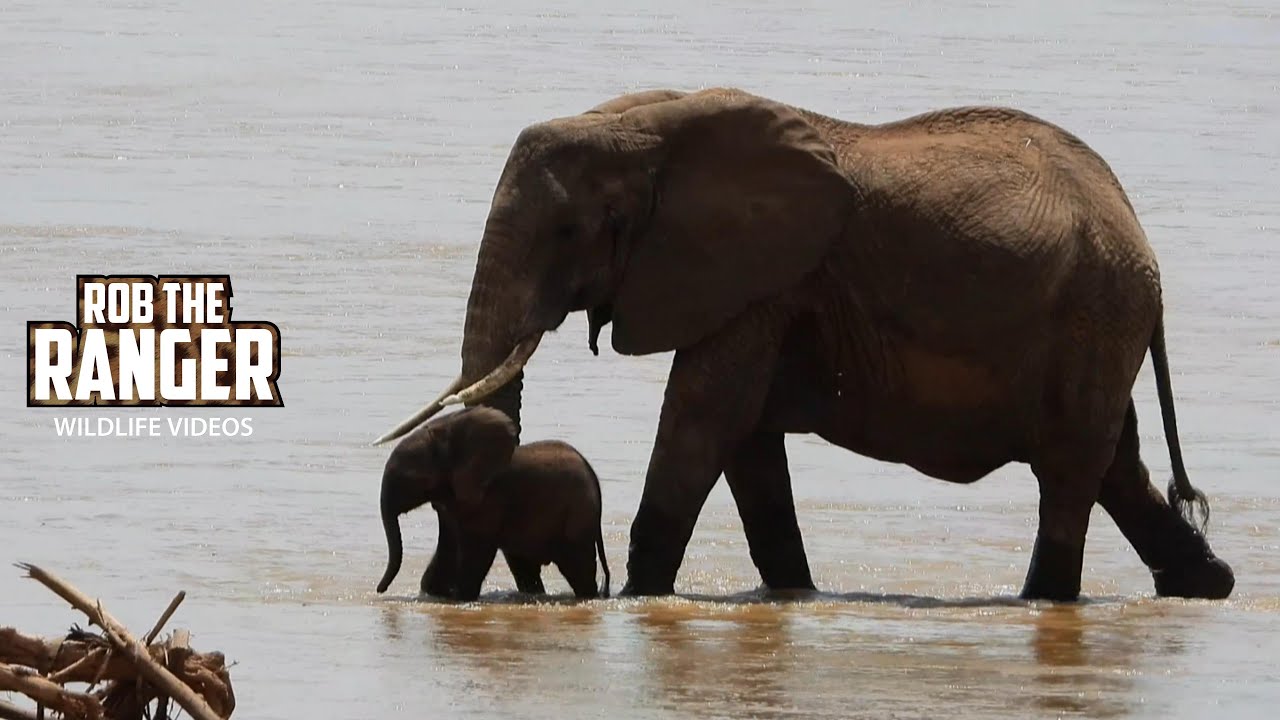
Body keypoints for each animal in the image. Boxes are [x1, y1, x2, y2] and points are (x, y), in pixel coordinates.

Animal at [376, 406, 610, 601]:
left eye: (409, 480)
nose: (380, 590)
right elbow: (448, 544)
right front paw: (435, 593)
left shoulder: (488, 498)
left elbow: (478, 549)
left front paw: (460, 598)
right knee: (524, 566)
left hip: (577, 516)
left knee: (578, 568)